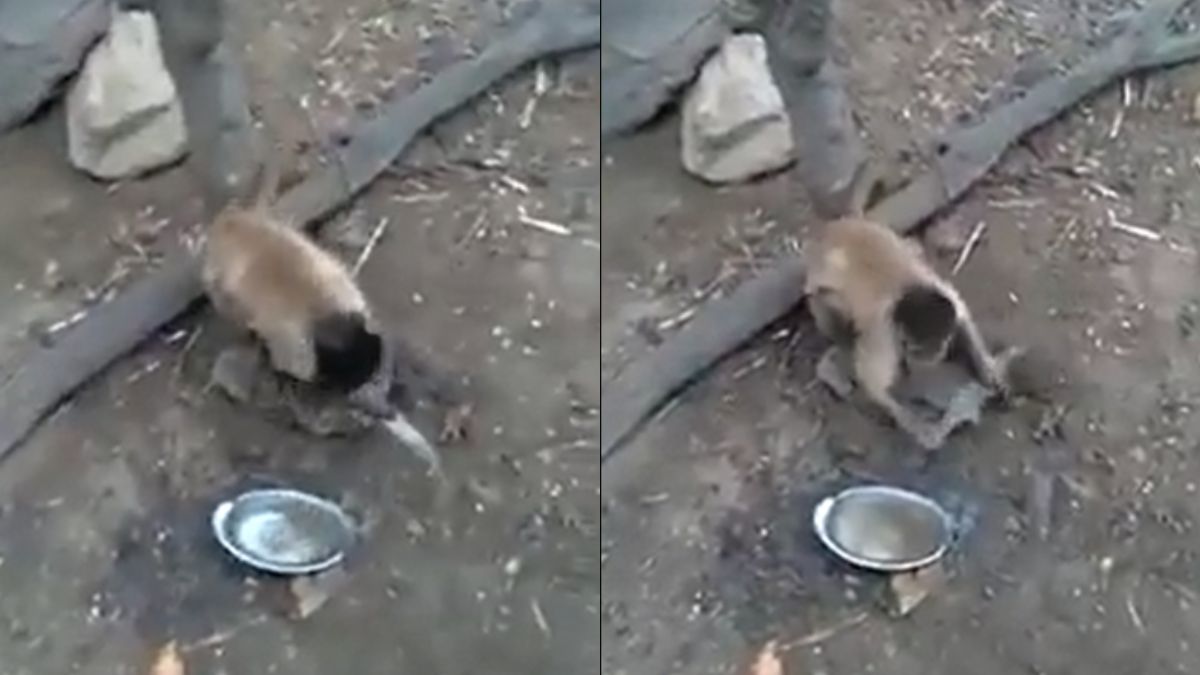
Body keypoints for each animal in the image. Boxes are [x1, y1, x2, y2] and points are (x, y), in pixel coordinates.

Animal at [804, 216, 1015, 449]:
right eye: (918, 348)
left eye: (940, 344)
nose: (931, 356)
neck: (905, 295)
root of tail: (837, 226)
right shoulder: (884, 333)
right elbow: (874, 381)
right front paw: (917, 425)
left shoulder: (938, 292)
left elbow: (963, 318)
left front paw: (989, 374)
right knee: (825, 299)